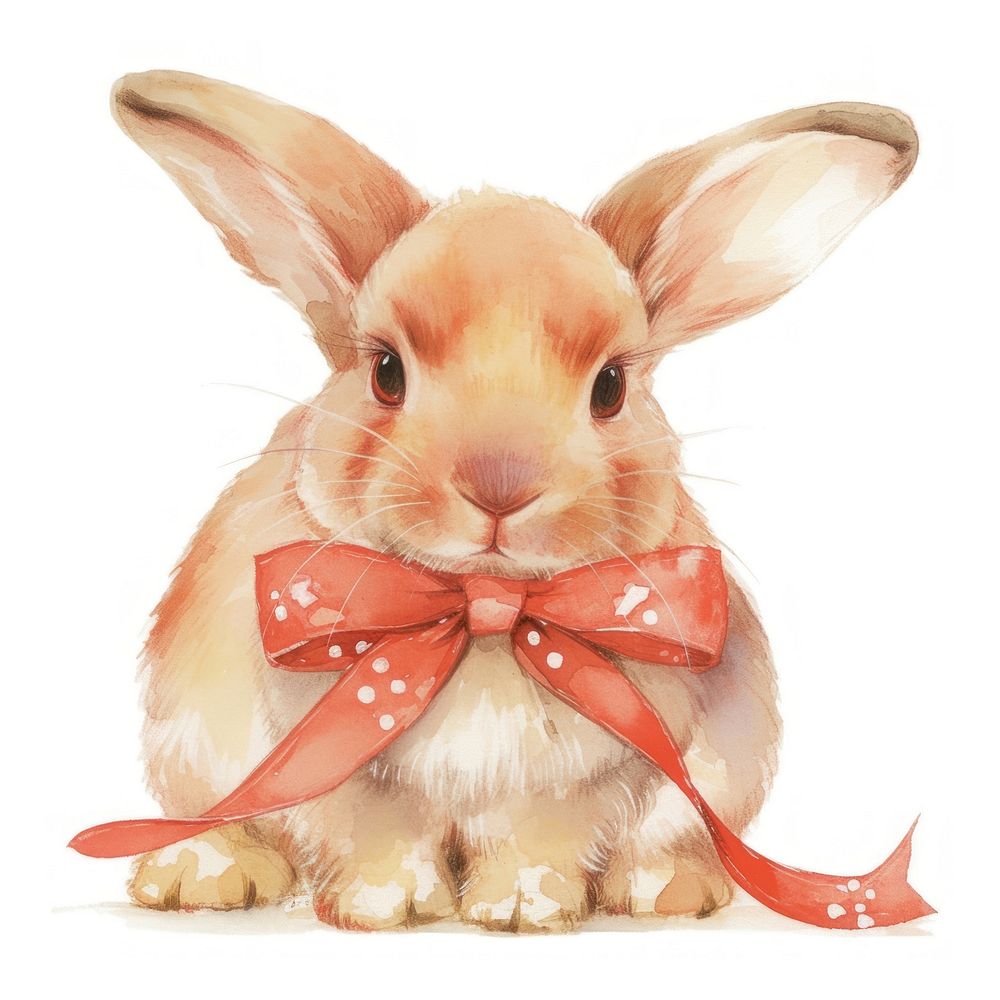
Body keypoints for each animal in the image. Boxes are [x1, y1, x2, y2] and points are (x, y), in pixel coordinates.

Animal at [109, 70, 917, 931]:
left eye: (610, 387)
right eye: (386, 372)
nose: (500, 485)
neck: (487, 610)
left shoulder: (577, 786)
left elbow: (537, 841)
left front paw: (522, 910)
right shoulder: (345, 772)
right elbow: (379, 836)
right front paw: (391, 908)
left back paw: (668, 891)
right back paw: (202, 876)